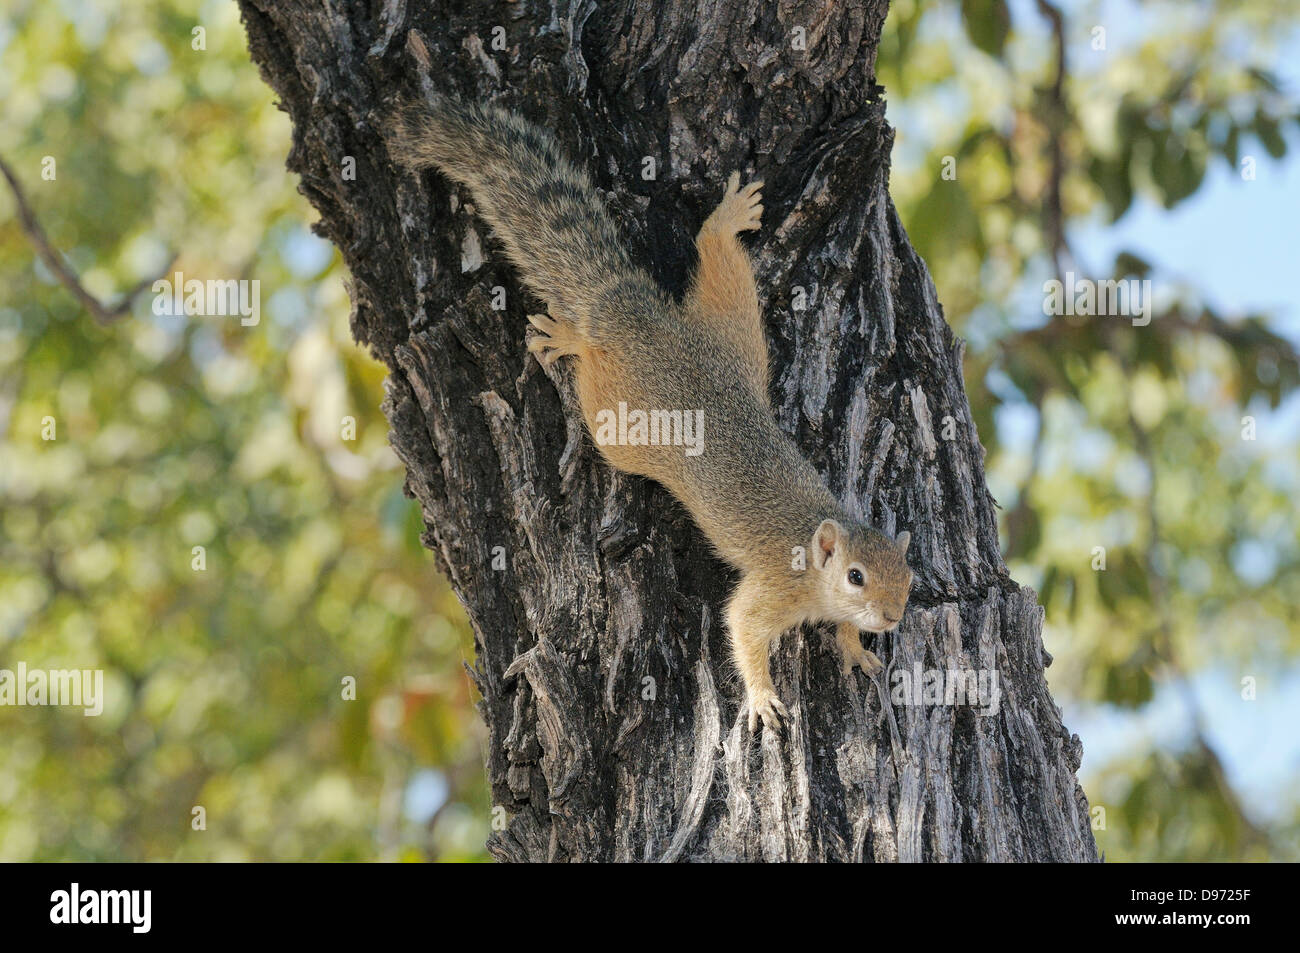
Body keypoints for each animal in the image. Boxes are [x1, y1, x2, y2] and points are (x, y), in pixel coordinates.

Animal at [388, 96, 913, 732]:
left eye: (909, 578)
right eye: (856, 576)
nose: (891, 616)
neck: (812, 559)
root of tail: (632, 315)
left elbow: (839, 629)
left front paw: (855, 648)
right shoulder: (773, 588)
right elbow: (742, 629)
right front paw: (763, 697)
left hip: (736, 335)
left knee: (719, 261)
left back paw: (727, 219)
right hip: (623, 422)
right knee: (596, 366)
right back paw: (571, 337)